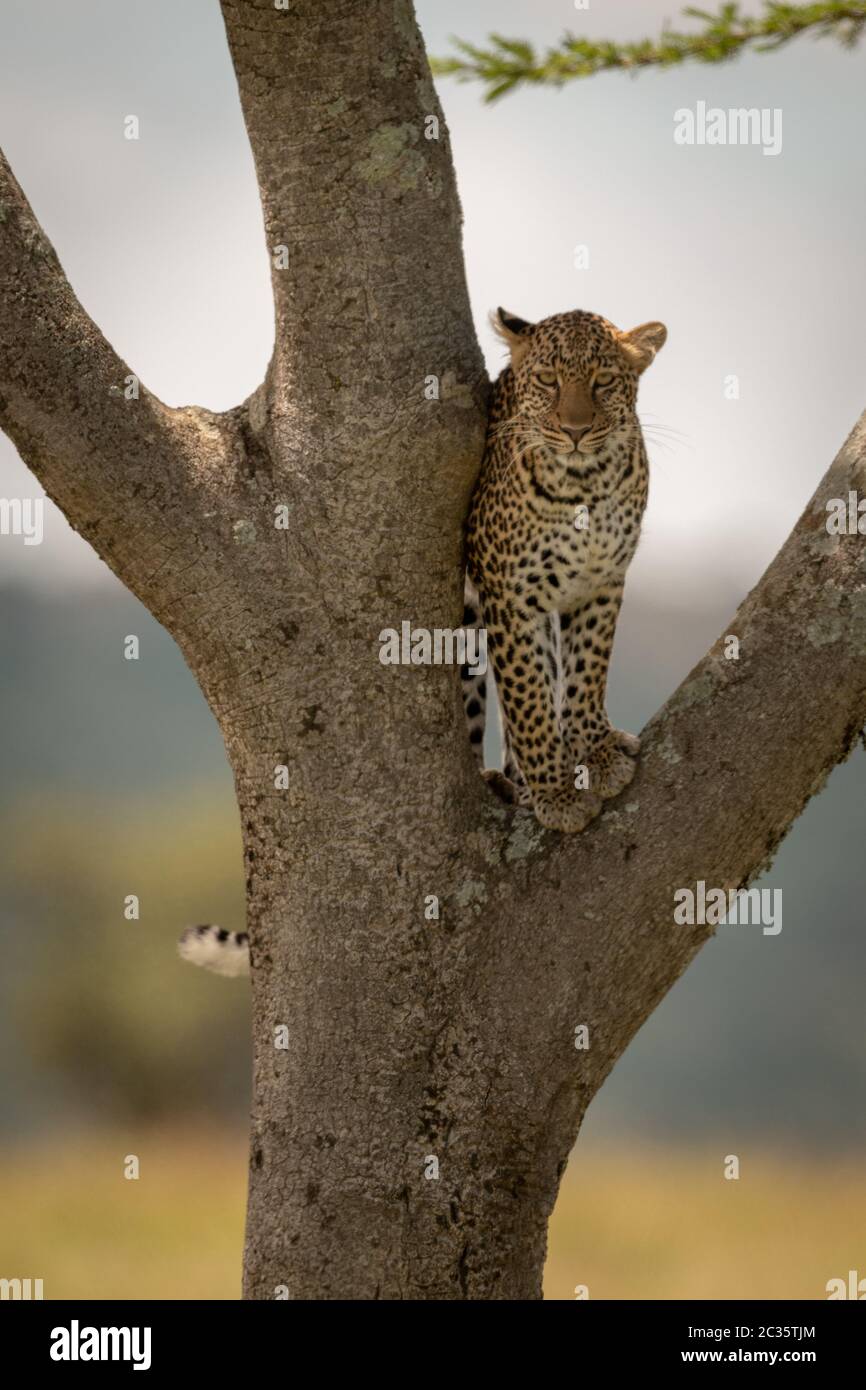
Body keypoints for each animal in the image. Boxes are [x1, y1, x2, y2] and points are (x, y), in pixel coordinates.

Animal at [462, 306, 667, 834]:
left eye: (604, 381)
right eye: (548, 380)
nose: (575, 431)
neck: (583, 486)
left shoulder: (602, 581)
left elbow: (586, 669)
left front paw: (595, 752)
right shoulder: (508, 597)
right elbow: (528, 700)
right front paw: (554, 792)